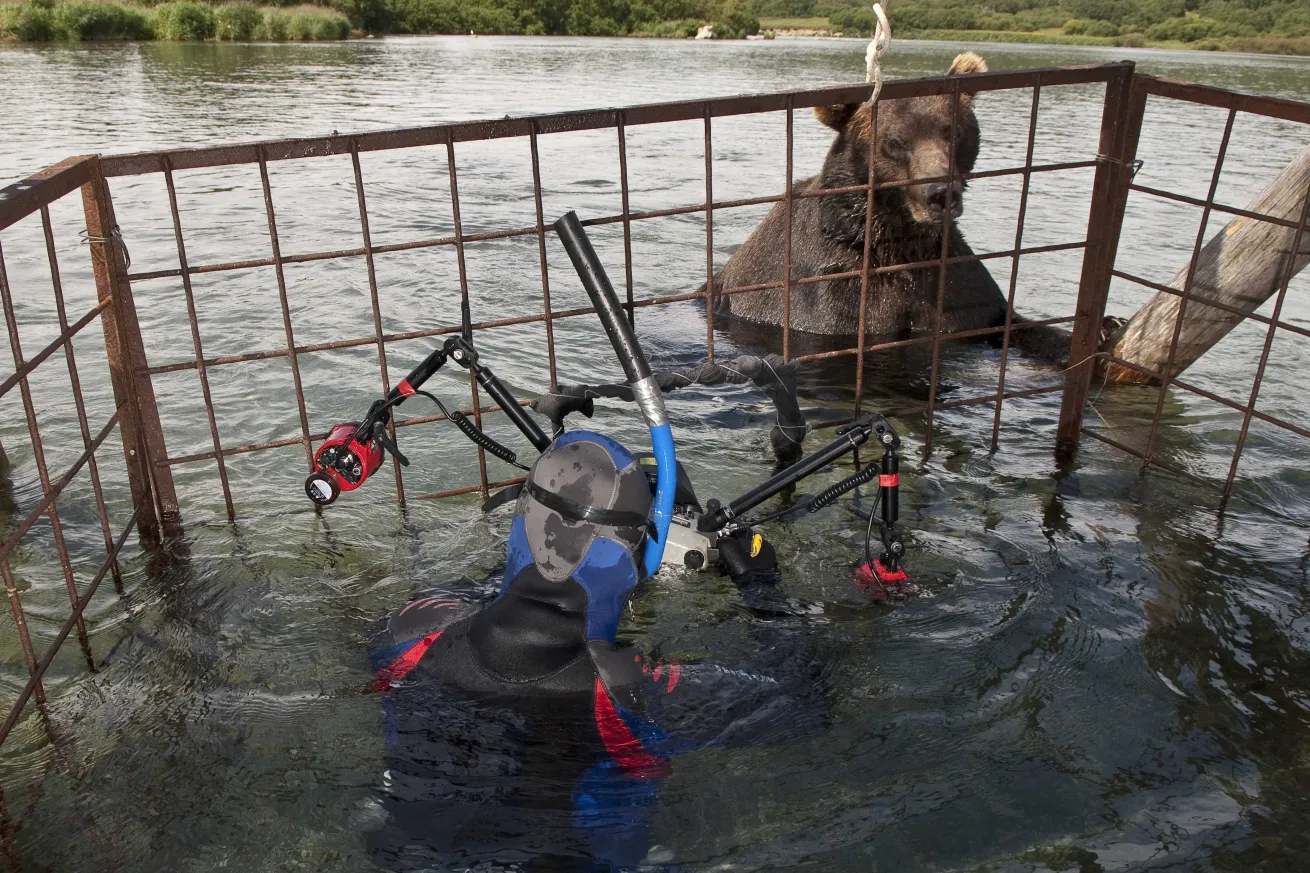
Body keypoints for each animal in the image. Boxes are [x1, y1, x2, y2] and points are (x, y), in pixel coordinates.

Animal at [709, 52, 1082, 366]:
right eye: (894, 142)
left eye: (953, 132)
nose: (940, 192)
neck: (895, 239)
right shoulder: (826, 297)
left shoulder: (954, 286)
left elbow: (1002, 321)